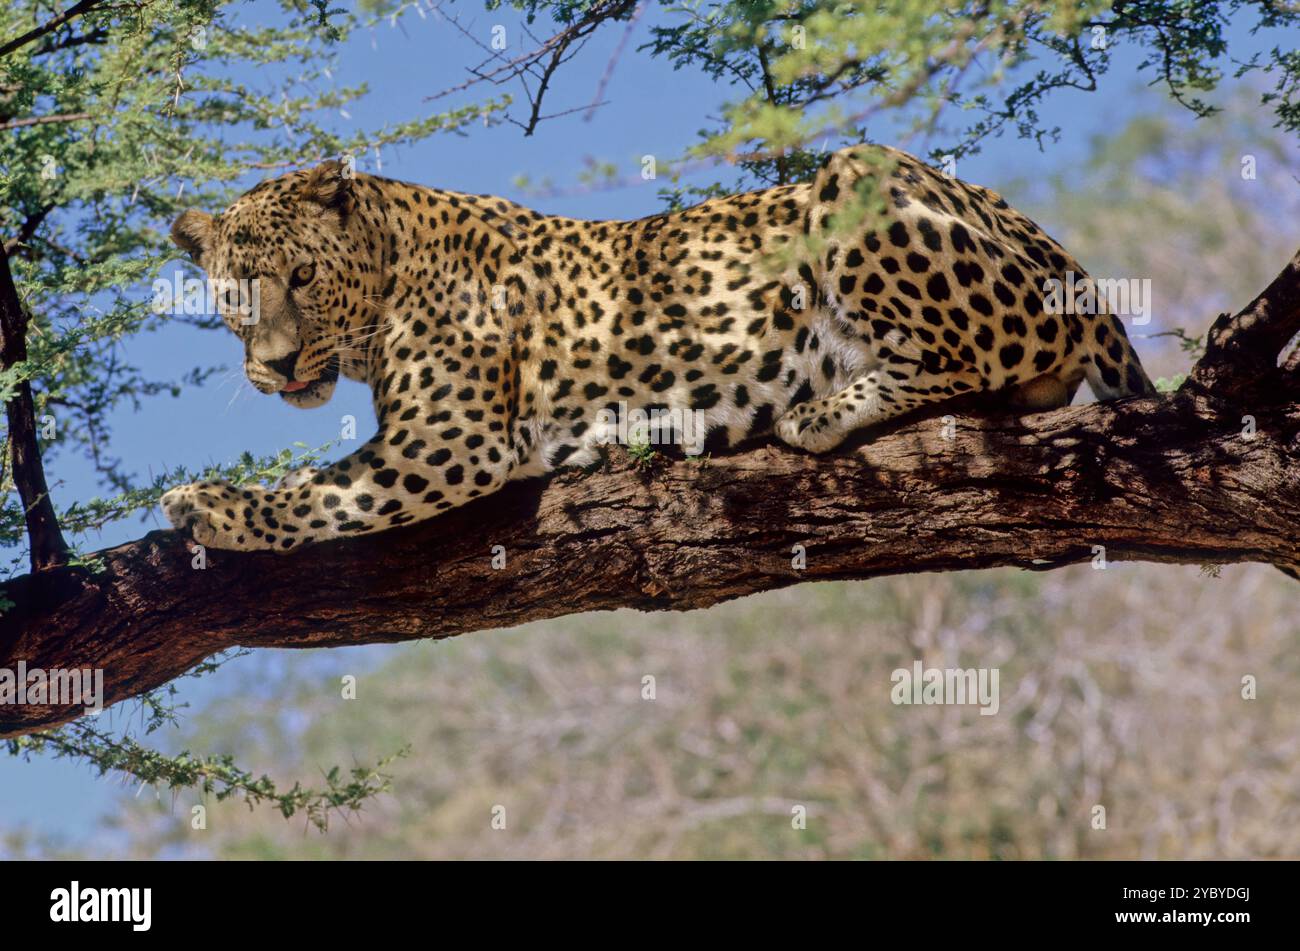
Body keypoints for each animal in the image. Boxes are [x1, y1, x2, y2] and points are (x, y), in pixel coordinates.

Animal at [162, 145, 1155, 552]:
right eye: (234, 294)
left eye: (301, 277)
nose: (274, 366)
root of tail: (1060, 251)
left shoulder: (451, 440)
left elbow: (318, 496)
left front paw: (213, 507)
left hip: (857, 180)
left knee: (1006, 343)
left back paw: (821, 406)